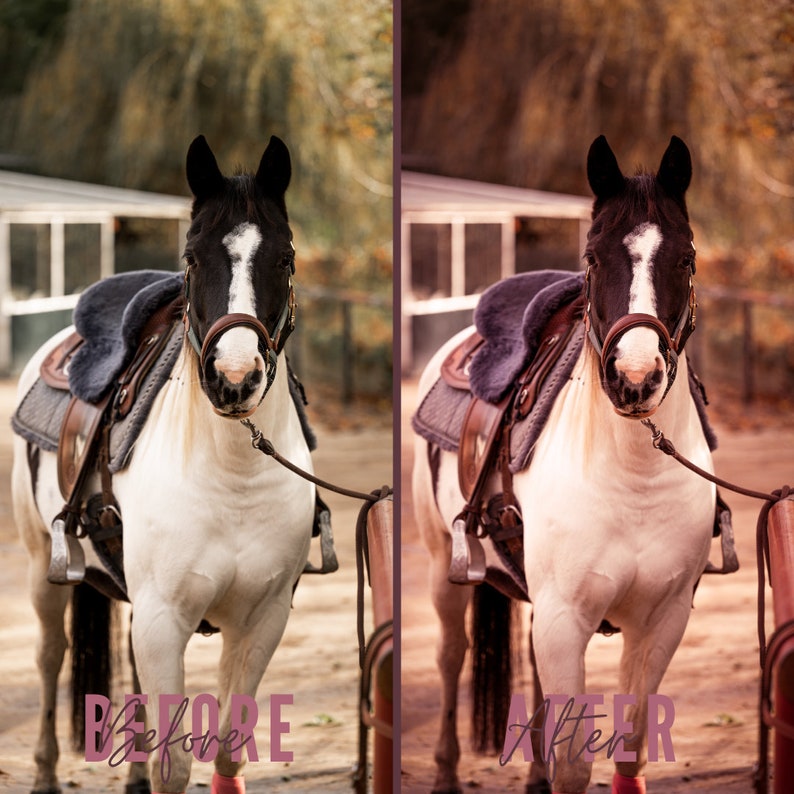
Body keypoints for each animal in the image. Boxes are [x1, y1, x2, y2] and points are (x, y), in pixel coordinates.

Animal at [12, 135, 315, 794]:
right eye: (193, 259)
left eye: (285, 259)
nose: (235, 378)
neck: (232, 476)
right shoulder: (162, 619)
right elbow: (172, 766)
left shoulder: (262, 620)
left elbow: (228, 751)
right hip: (42, 568)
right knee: (50, 657)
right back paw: (45, 771)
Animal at [412, 136, 716, 794]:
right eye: (593, 259)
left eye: (686, 259)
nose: (635, 378)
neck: (633, 475)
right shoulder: (563, 618)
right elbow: (575, 762)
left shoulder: (662, 620)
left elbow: (630, 750)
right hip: (443, 568)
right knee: (452, 657)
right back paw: (446, 770)